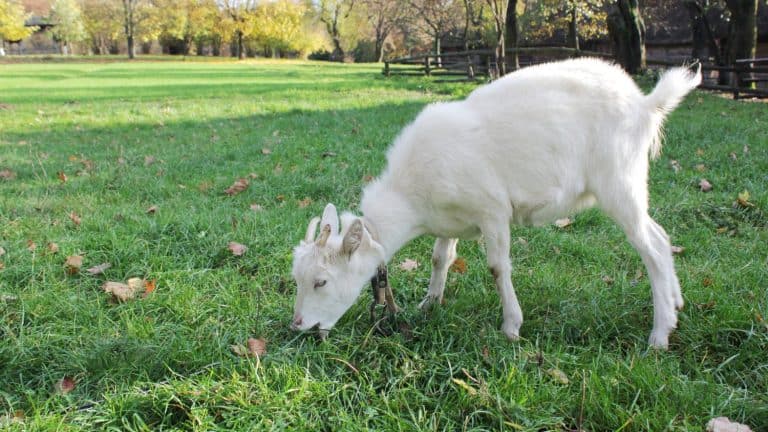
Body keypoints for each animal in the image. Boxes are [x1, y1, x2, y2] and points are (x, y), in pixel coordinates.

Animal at [291, 58, 701, 348]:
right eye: (297, 278)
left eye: (321, 281)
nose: (299, 325)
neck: (412, 196)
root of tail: (645, 104)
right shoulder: (448, 219)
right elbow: (440, 258)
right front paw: (429, 303)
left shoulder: (492, 210)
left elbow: (496, 268)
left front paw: (511, 327)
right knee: (661, 236)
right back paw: (677, 303)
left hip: (619, 180)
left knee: (651, 247)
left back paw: (659, 335)